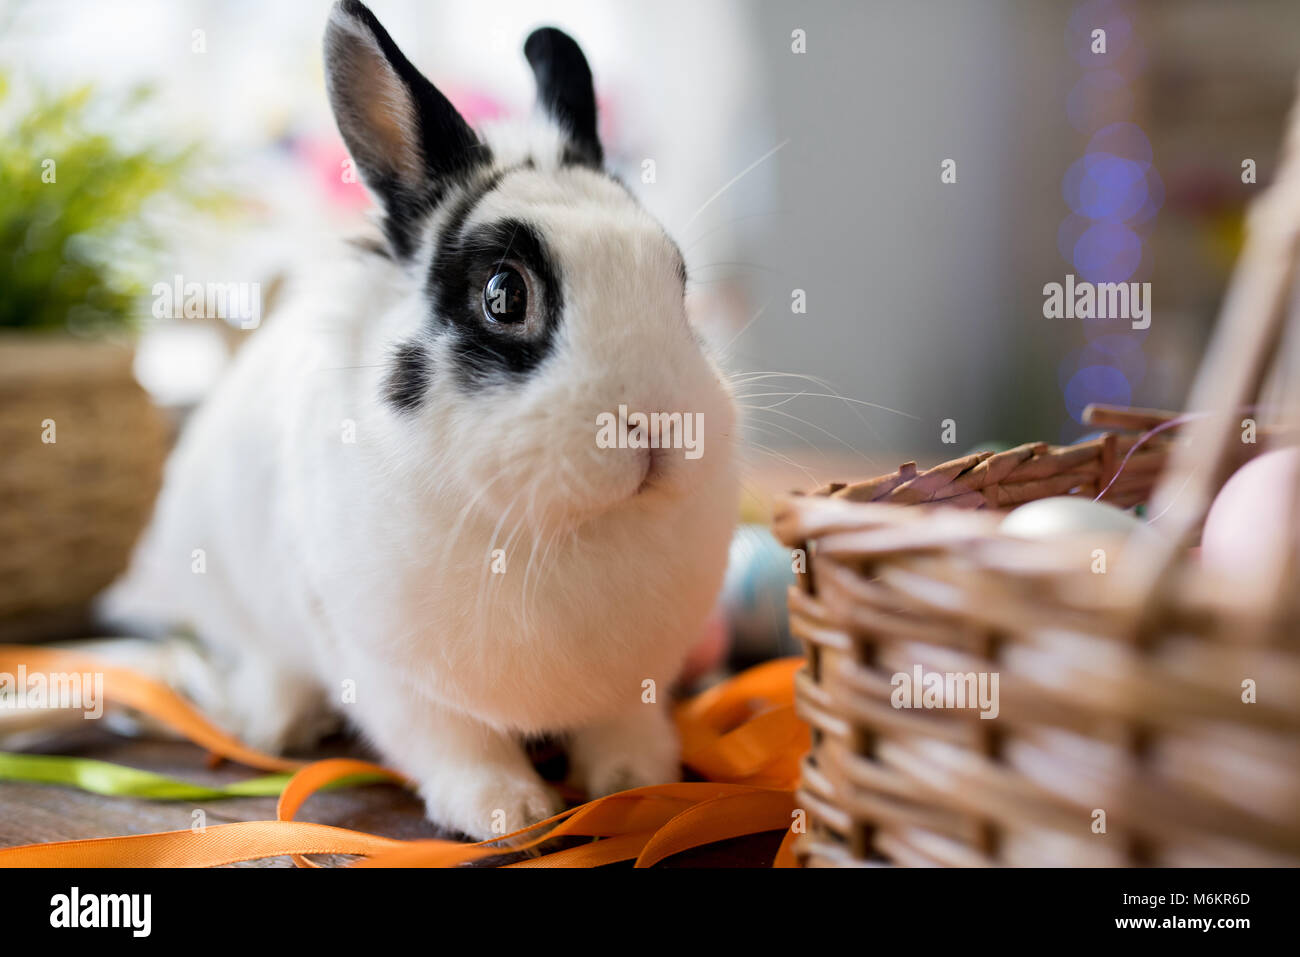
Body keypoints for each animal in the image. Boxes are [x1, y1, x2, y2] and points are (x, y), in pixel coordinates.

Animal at [99, 0, 740, 840]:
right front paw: (507, 811)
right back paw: (280, 724)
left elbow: (621, 727)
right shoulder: (394, 677)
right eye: (505, 294)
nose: (660, 426)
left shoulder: (632, 680)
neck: (561, 529)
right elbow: (454, 744)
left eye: (678, 279)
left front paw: (639, 780)